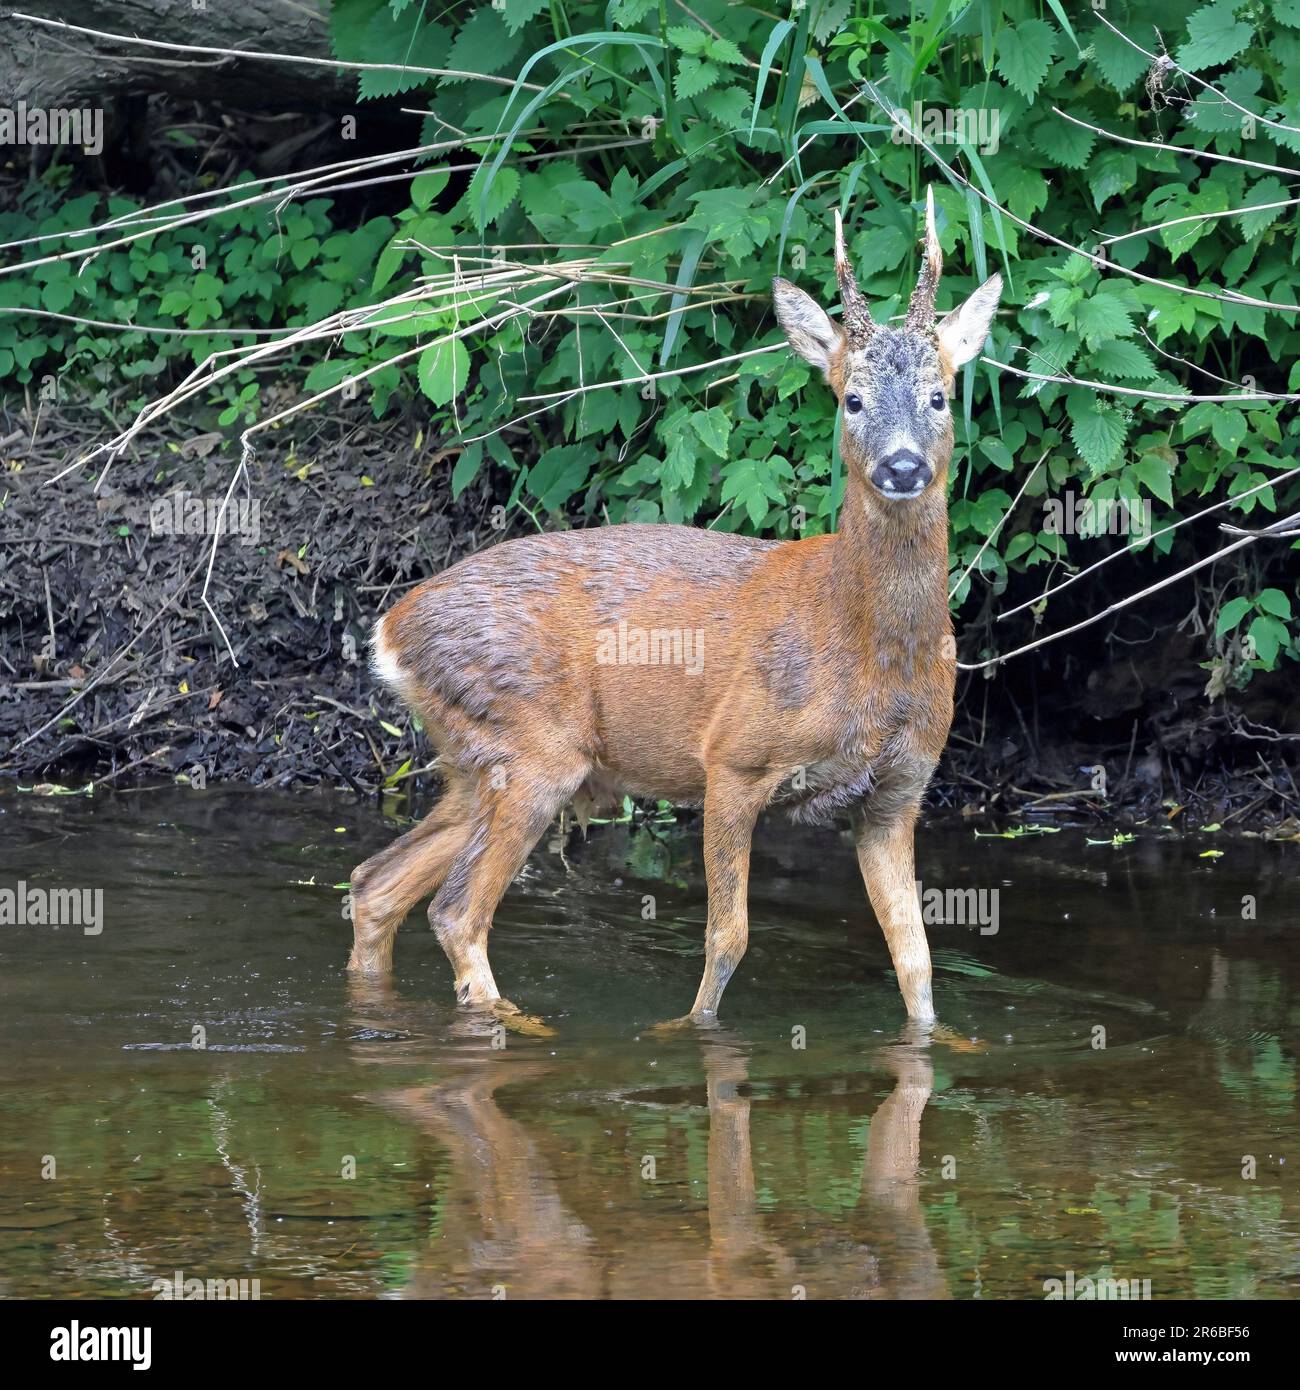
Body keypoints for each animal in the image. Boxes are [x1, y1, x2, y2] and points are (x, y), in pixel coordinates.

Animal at [348, 188, 1001, 1030]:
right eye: (851, 398)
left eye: (939, 395)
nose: (902, 465)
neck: (864, 652)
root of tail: (390, 630)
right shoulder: (734, 757)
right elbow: (728, 937)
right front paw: (690, 1029)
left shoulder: (899, 791)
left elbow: (915, 961)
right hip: (530, 741)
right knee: (456, 909)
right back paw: (524, 1025)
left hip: (473, 759)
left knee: (377, 884)